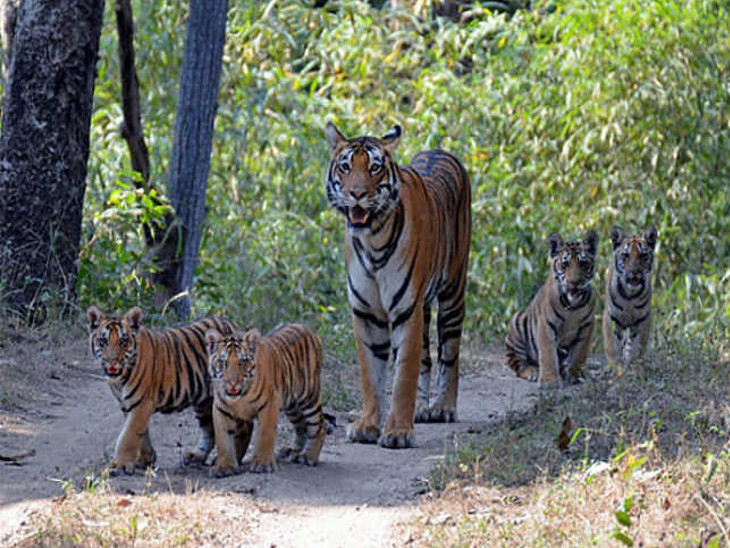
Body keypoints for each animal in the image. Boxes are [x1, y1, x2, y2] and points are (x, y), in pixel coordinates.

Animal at [86, 305, 247, 475]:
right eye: (103, 341)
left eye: (123, 342)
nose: (112, 362)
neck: (120, 379)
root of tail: (232, 324)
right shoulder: (128, 404)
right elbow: (140, 433)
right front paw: (145, 459)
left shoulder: (142, 403)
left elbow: (128, 435)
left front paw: (120, 465)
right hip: (202, 399)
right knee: (208, 428)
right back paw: (196, 455)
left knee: (244, 427)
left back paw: (231, 460)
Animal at [205, 323, 328, 475]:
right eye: (223, 362)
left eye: (243, 361)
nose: (233, 382)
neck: (239, 398)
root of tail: (307, 327)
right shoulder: (221, 409)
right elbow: (223, 439)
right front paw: (224, 466)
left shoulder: (270, 403)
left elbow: (265, 433)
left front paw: (262, 464)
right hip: (292, 406)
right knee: (301, 427)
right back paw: (293, 452)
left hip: (308, 397)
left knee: (321, 426)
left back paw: (308, 457)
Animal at [325, 122, 472, 449]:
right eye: (345, 167)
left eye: (375, 168)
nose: (356, 194)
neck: (372, 239)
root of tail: (439, 150)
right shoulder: (366, 312)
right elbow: (372, 375)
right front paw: (367, 425)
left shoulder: (406, 310)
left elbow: (403, 373)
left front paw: (398, 432)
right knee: (427, 356)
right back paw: (422, 408)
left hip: (453, 293)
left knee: (449, 353)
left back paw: (444, 407)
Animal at [505, 230, 599, 385]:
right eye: (565, 264)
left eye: (583, 263)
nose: (575, 282)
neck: (573, 307)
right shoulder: (546, 323)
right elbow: (548, 352)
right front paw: (550, 381)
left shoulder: (587, 325)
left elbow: (579, 353)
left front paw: (574, 375)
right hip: (517, 321)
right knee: (517, 363)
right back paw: (532, 371)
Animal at [602, 225, 657, 366]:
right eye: (625, 255)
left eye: (643, 256)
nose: (635, 272)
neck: (629, 296)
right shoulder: (611, 316)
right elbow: (612, 344)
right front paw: (615, 365)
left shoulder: (642, 319)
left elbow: (636, 344)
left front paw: (633, 361)